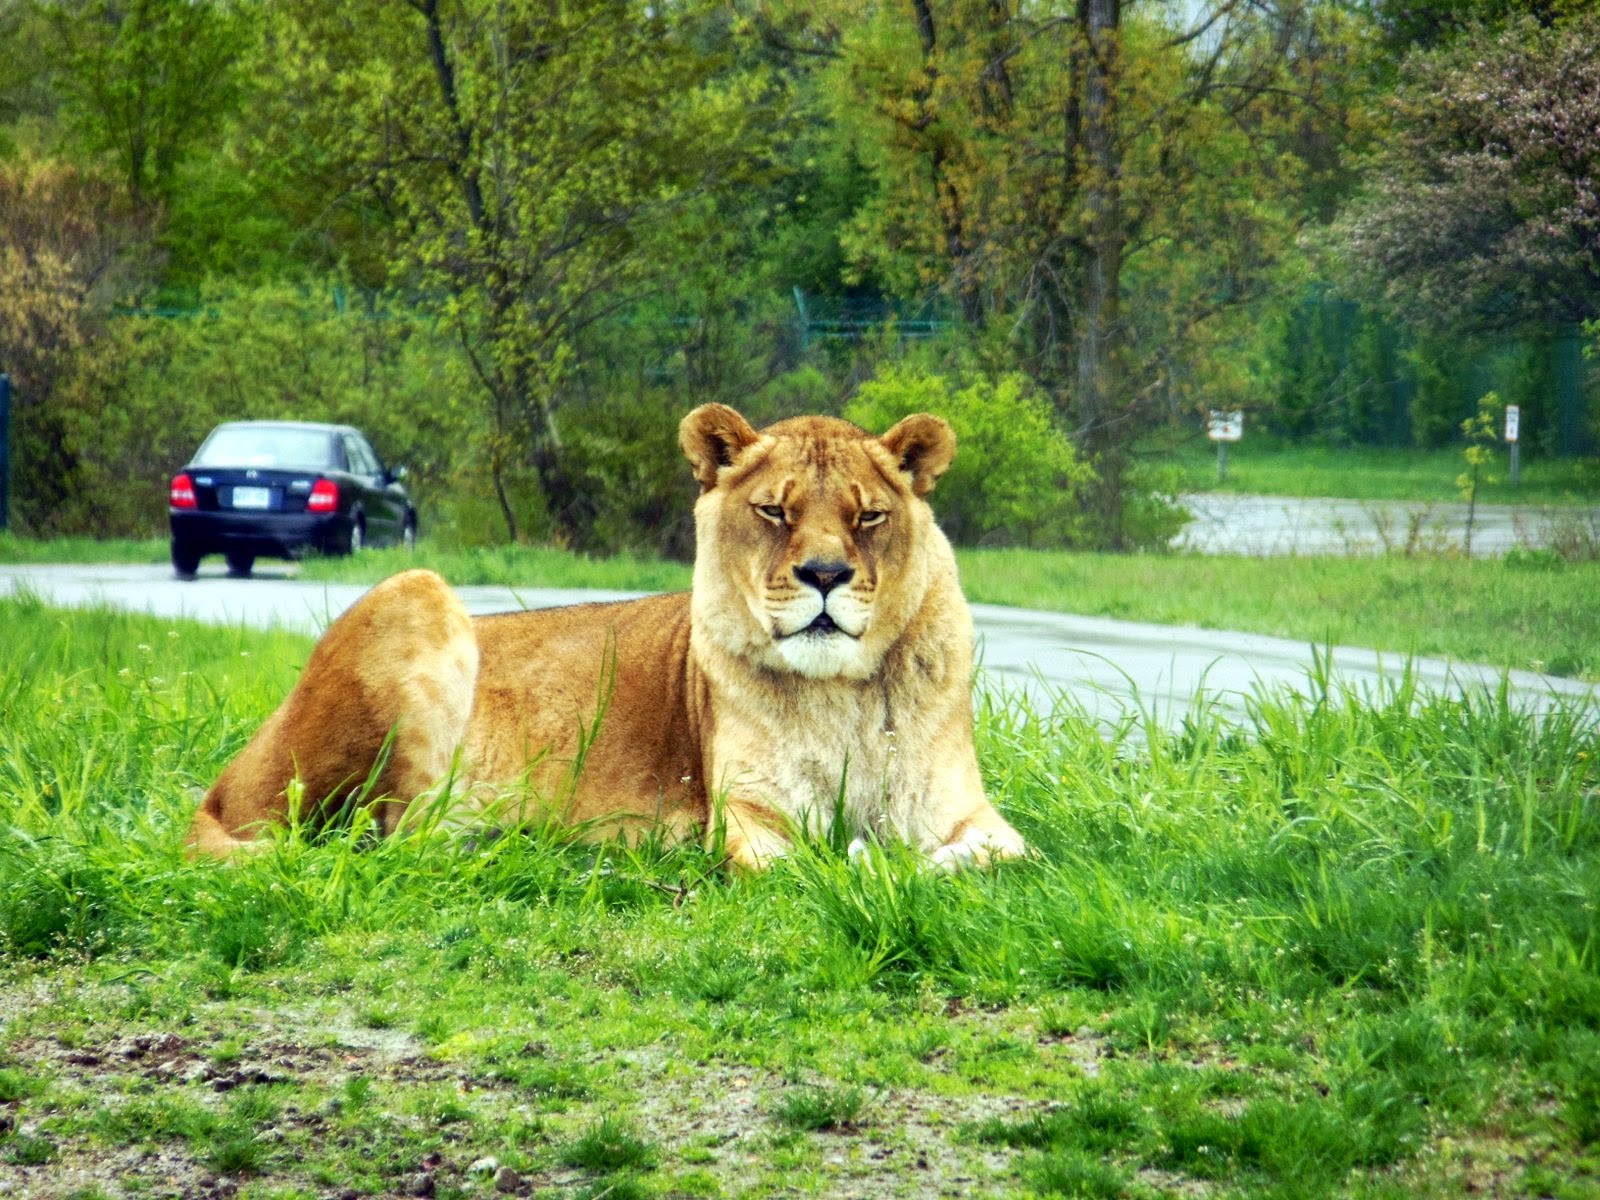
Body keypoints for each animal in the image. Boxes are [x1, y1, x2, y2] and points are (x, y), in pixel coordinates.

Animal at [186, 404, 1027, 871]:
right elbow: (812, 870)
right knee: (388, 837)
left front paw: (899, 866)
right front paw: (863, 866)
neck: (842, 693)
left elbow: (990, 861)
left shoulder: (976, 818)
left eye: (869, 516)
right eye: (774, 511)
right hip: (415, 593)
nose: (825, 573)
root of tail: (219, 790)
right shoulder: (750, 820)